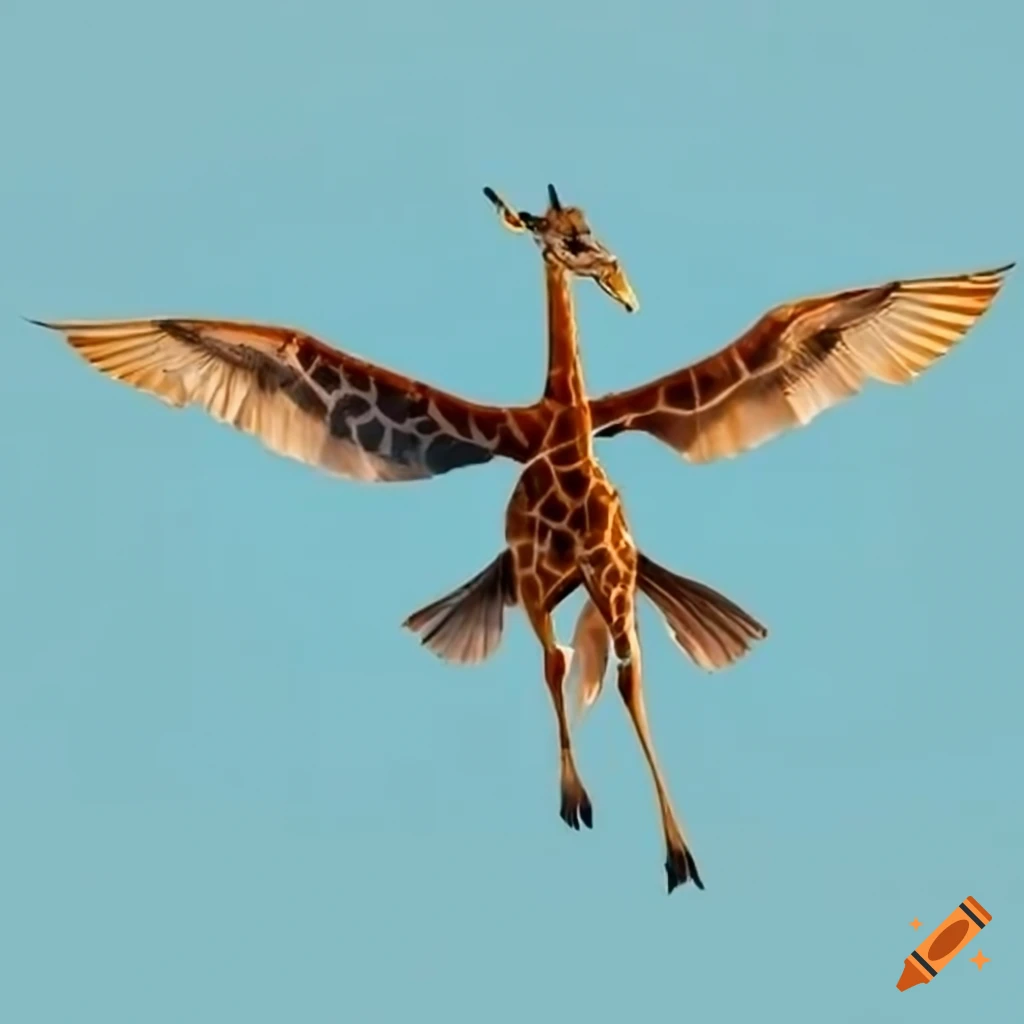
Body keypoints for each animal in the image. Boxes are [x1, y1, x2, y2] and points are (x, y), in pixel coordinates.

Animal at [404, 185, 767, 892]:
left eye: (589, 225)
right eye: (566, 239)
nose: (621, 281)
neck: (569, 451)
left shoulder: (616, 577)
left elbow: (629, 681)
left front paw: (679, 853)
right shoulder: (532, 585)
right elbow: (554, 663)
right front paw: (575, 800)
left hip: (609, 587)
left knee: (624, 670)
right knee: (561, 660)